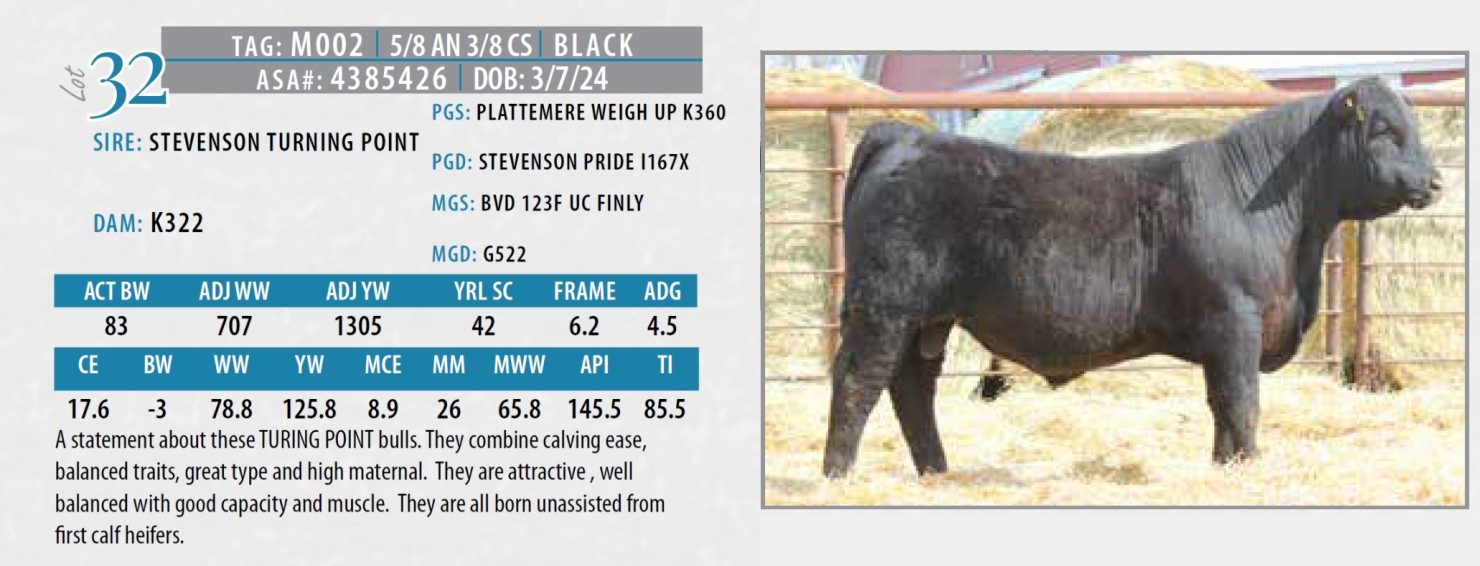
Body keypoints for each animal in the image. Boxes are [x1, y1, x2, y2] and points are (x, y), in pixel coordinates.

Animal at [823, 78, 1442, 478]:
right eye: (1385, 129)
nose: (1435, 181)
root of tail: (907, 136)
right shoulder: (1234, 321)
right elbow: (1242, 400)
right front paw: (1248, 466)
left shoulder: (1224, 337)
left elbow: (1221, 404)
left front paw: (1223, 467)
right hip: (885, 307)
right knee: (857, 382)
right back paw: (839, 475)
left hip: (928, 320)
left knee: (912, 390)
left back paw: (937, 472)